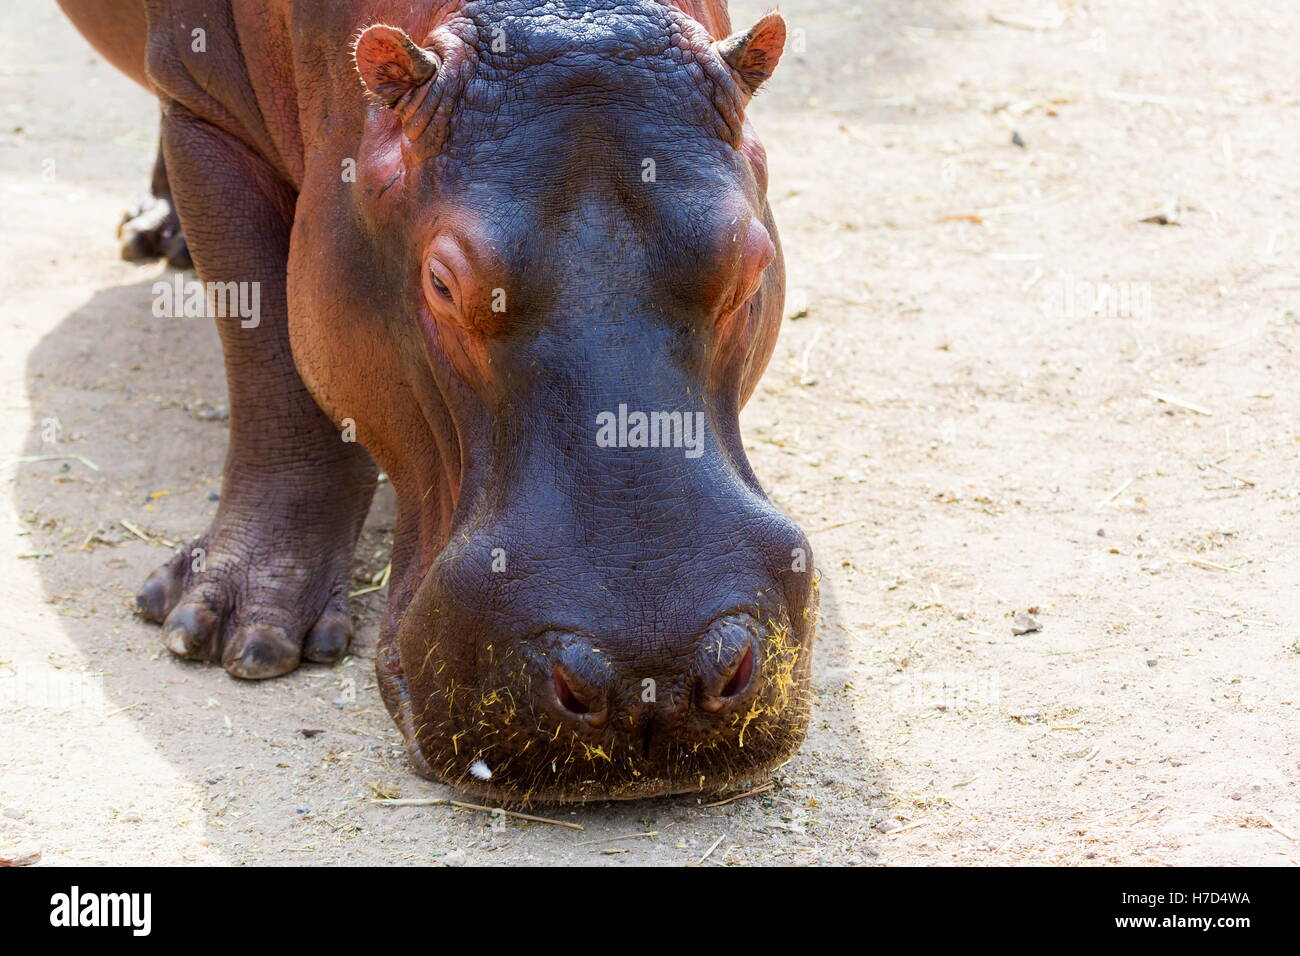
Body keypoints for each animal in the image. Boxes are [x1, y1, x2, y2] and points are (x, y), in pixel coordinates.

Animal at [58, 0, 817, 802]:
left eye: (753, 262)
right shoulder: (207, 118)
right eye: (443, 283)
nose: (653, 678)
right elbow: (269, 363)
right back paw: (154, 234)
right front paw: (229, 628)